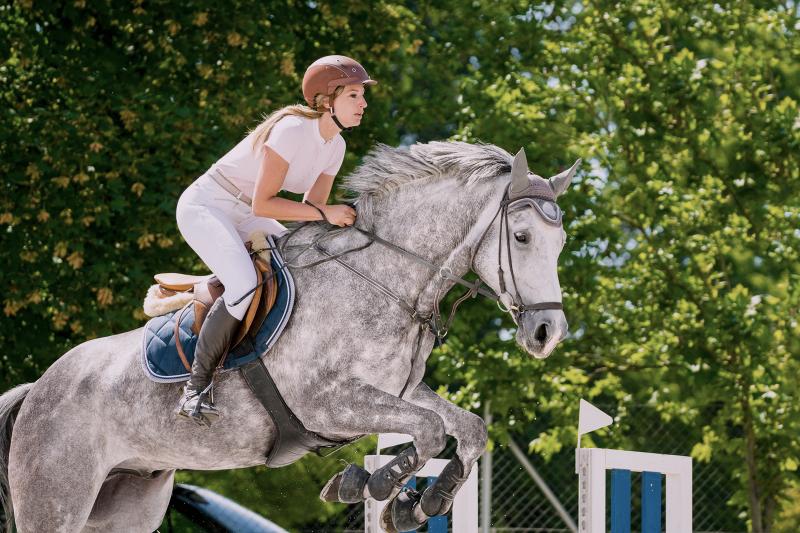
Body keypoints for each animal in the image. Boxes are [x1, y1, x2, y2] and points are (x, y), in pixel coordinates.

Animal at [0, 141, 578, 532]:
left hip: (128, 501)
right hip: (58, 499)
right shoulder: (327, 403)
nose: (547, 333)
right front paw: (376, 487)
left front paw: (422, 502)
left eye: (561, 242)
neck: (386, 277)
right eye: (521, 237)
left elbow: (468, 429)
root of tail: (37, 391)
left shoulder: (399, 391)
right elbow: (431, 430)